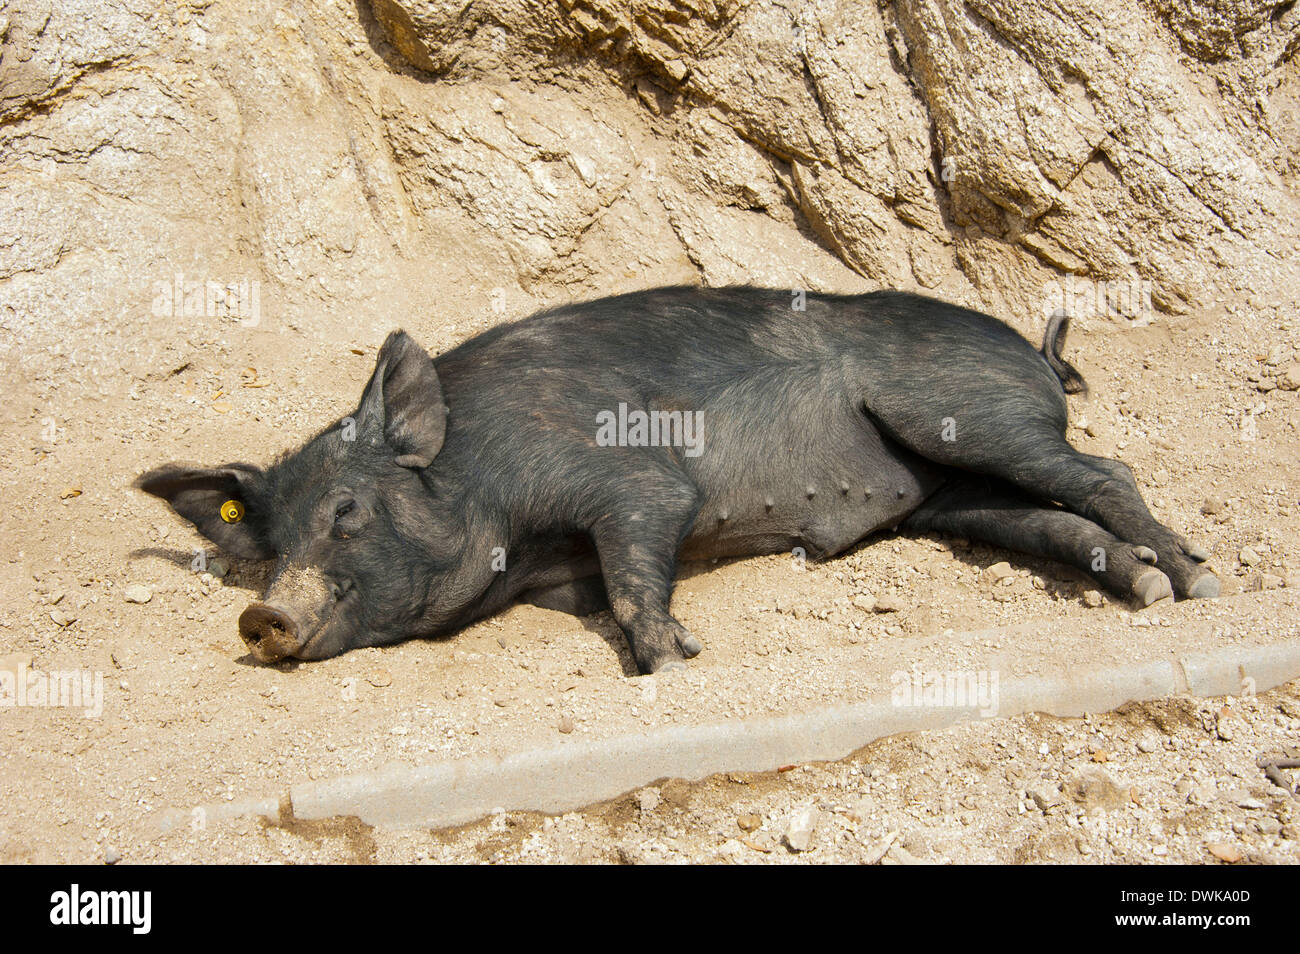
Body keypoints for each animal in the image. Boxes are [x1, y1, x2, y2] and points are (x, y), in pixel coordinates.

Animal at [137, 286, 1218, 674]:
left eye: (348, 513)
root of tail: (1031, 346)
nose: (260, 615)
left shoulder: (628, 478)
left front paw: (674, 659)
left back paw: (1198, 582)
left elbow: (634, 560)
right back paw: (1149, 589)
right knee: (1050, 520)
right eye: (273, 543)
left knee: (1104, 469)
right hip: (955, 492)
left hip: (967, 412)